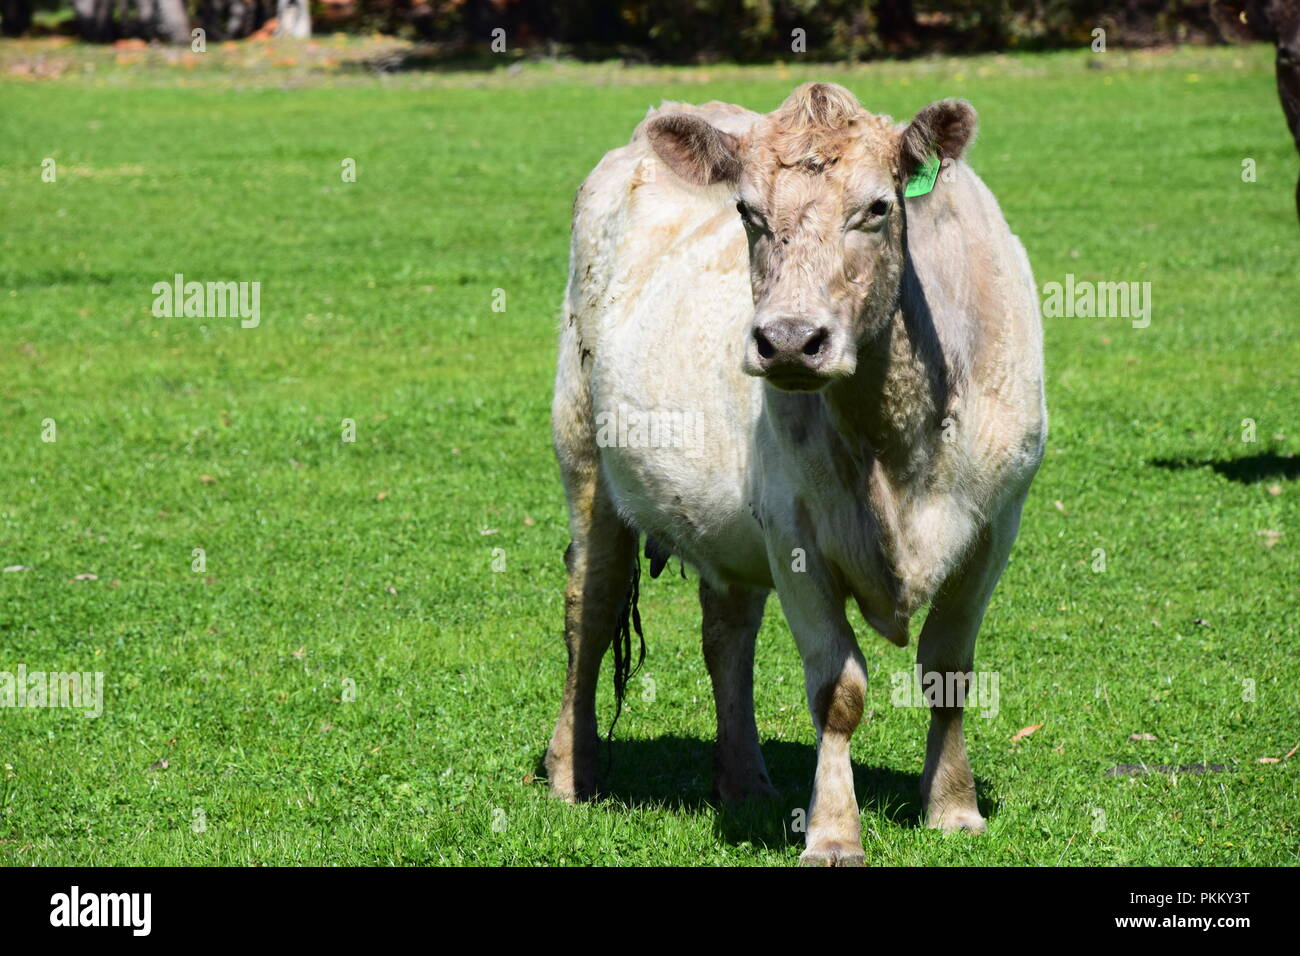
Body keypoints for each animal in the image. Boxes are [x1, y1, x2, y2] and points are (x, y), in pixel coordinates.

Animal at [543, 82, 1047, 865]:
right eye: (748, 213)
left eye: (878, 207)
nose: (787, 341)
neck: (896, 440)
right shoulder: (794, 534)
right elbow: (838, 692)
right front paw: (834, 832)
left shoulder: (995, 527)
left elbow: (948, 673)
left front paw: (953, 807)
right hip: (584, 458)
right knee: (588, 613)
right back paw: (572, 771)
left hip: (721, 522)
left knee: (726, 636)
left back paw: (744, 778)